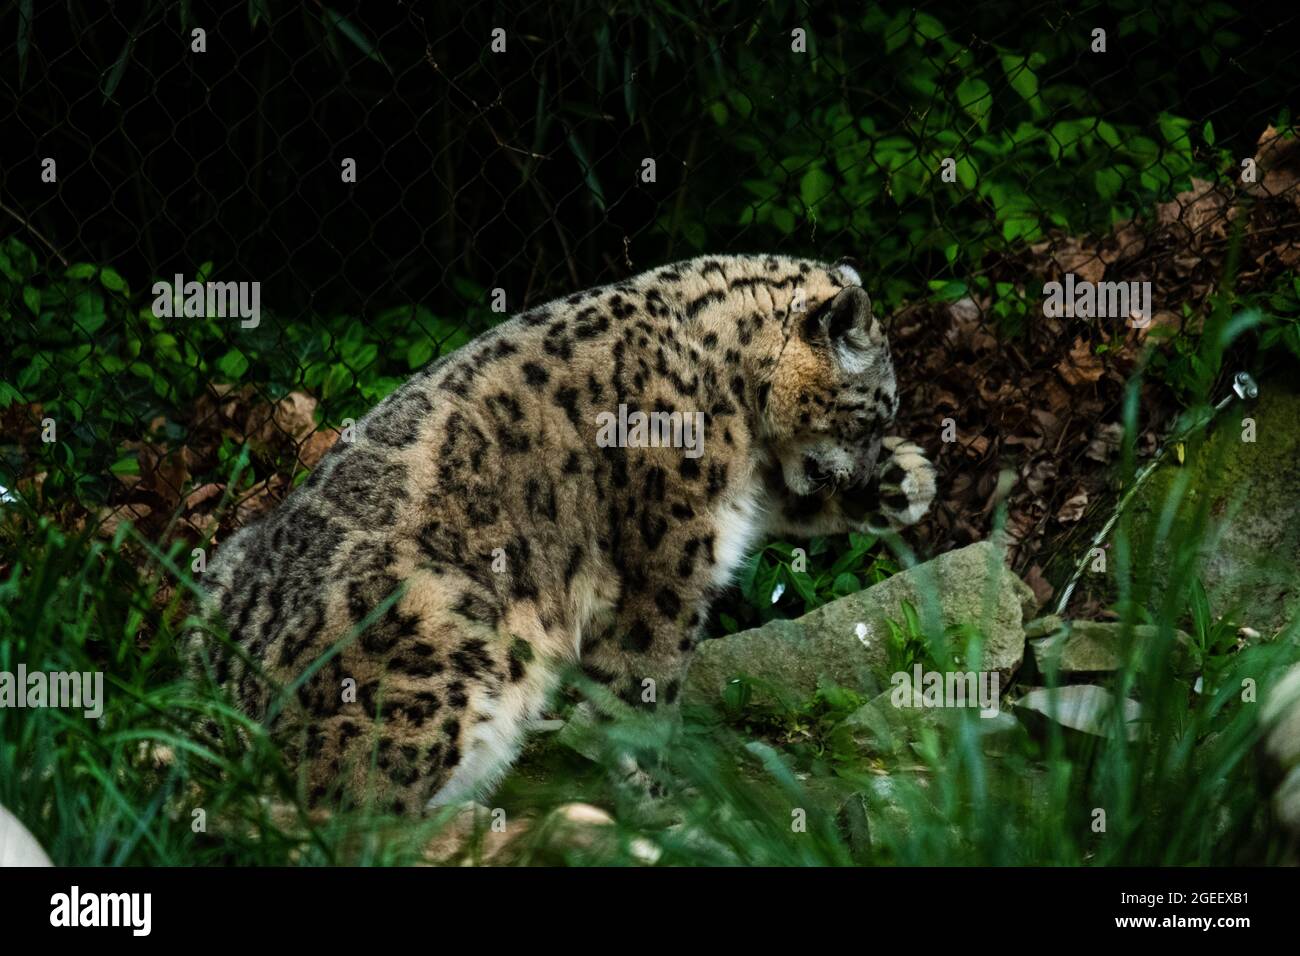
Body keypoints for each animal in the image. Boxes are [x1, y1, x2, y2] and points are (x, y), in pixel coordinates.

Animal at [189, 254, 936, 815]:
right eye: (878, 409)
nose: (867, 466)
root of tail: (217, 723)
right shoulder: (667, 565)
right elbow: (643, 685)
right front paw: (659, 798)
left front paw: (907, 479)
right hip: (437, 624)